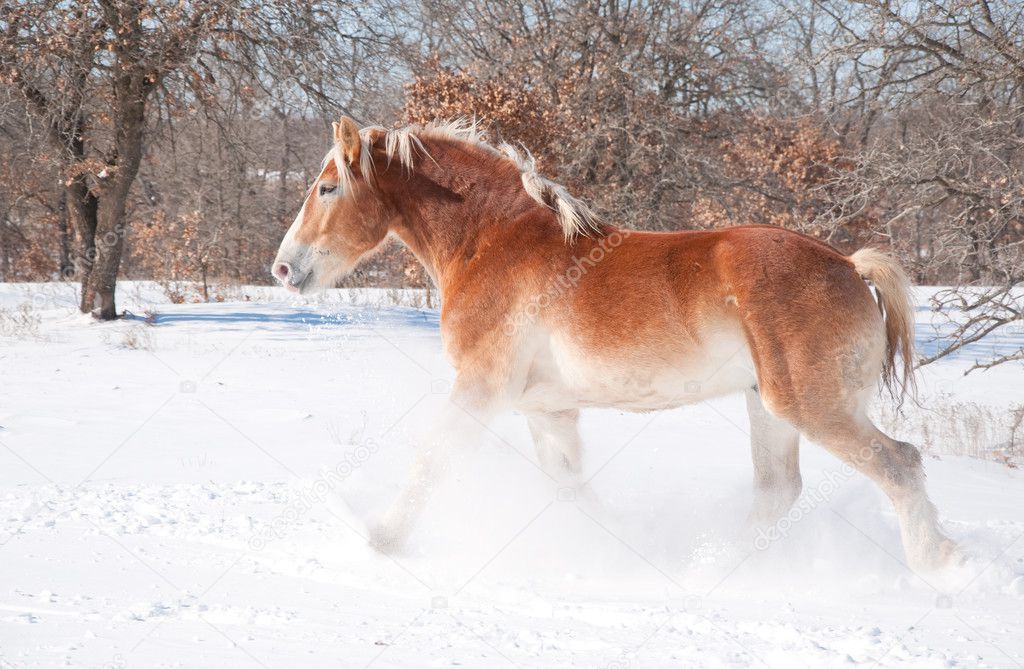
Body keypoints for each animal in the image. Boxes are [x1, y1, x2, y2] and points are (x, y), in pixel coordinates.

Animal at [272, 116, 960, 573]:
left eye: (327, 187)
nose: (283, 268)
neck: (492, 240)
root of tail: (848, 264)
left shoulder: (480, 388)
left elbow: (432, 460)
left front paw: (379, 539)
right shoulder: (547, 409)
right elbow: (571, 488)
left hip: (810, 407)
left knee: (900, 466)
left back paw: (938, 569)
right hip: (767, 407)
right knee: (777, 492)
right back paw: (707, 566)